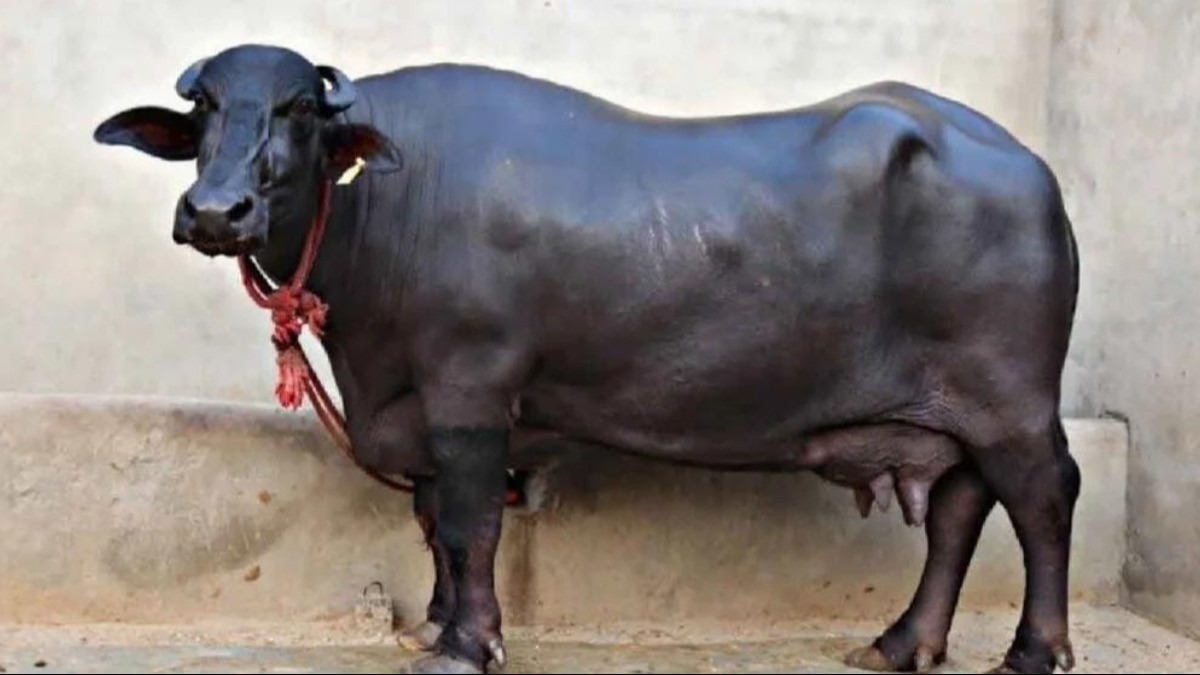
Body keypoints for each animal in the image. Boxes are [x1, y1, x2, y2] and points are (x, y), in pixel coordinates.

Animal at [94, 44, 1081, 674]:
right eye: (204, 108)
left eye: (298, 109)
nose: (215, 210)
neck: (385, 212)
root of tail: (1030, 168)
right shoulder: (418, 403)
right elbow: (434, 524)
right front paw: (438, 623)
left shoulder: (470, 387)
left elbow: (470, 524)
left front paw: (467, 646)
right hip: (959, 412)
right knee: (959, 508)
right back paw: (902, 643)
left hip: (1013, 401)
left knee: (1041, 497)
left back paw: (1032, 651)